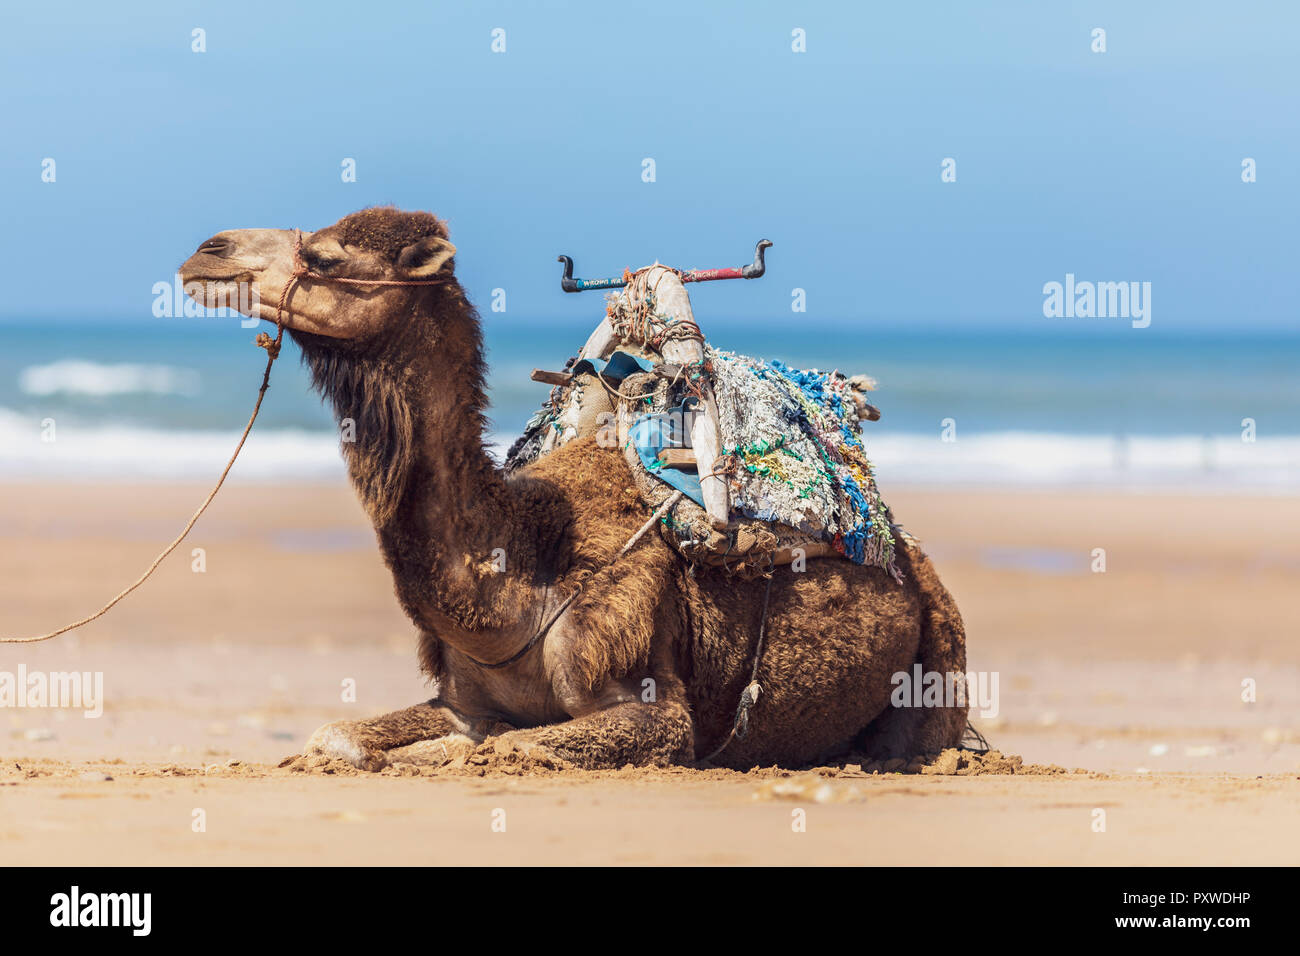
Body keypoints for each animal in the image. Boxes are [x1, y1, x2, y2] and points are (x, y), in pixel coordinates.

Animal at [179, 206, 969, 771]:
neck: (524, 571)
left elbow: (509, 745)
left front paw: (448, 753)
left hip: (940, 659)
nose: (205, 252)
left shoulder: (653, 704)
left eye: (324, 257)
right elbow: (335, 734)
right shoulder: (461, 694)